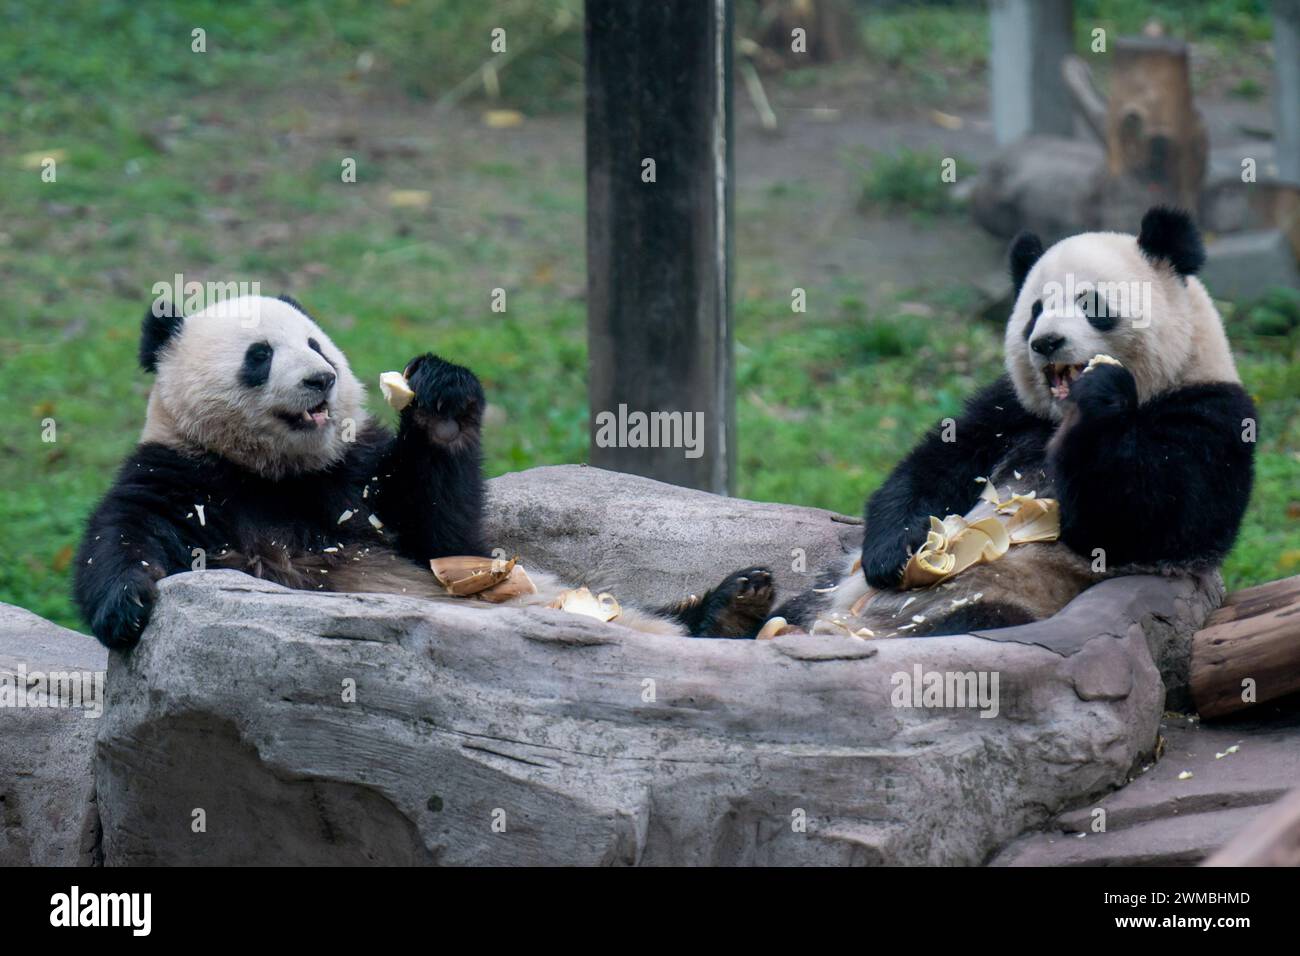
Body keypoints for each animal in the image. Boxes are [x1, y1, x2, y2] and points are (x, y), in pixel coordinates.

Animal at [74, 295, 776, 648]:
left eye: (317, 344)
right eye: (260, 354)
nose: (321, 380)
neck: (277, 473)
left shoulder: (354, 475)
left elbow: (444, 535)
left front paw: (441, 398)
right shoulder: (181, 472)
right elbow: (123, 533)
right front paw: (129, 606)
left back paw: (733, 604)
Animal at [775, 207, 1256, 637]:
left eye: (1091, 303)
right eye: (1036, 310)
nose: (1046, 342)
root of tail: (842, 624)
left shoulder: (1211, 414)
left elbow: (1146, 517)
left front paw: (1101, 395)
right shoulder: (1011, 409)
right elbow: (939, 463)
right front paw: (894, 551)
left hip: (1006, 596)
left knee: (972, 622)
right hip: (829, 589)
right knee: (793, 605)